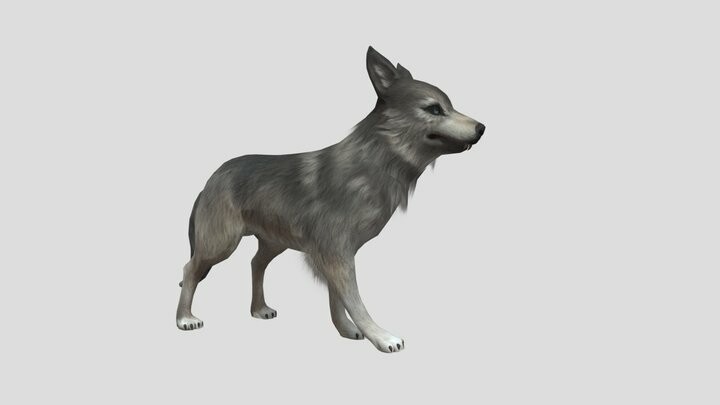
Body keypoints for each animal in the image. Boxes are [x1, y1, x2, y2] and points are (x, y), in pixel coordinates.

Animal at [176, 47, 485, 353]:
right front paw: (381, 337)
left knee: (255, 263)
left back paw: (259, 309)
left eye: (449, 105)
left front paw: (345, 330)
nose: (482, 128)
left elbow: (337, 299)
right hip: (221, 243)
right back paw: (185, 318)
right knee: (190, 269)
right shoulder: (336, 254)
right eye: (434, 109)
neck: (375, 165)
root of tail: (211, 179)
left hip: (274, 243)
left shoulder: (337, 253)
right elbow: (354, 301)